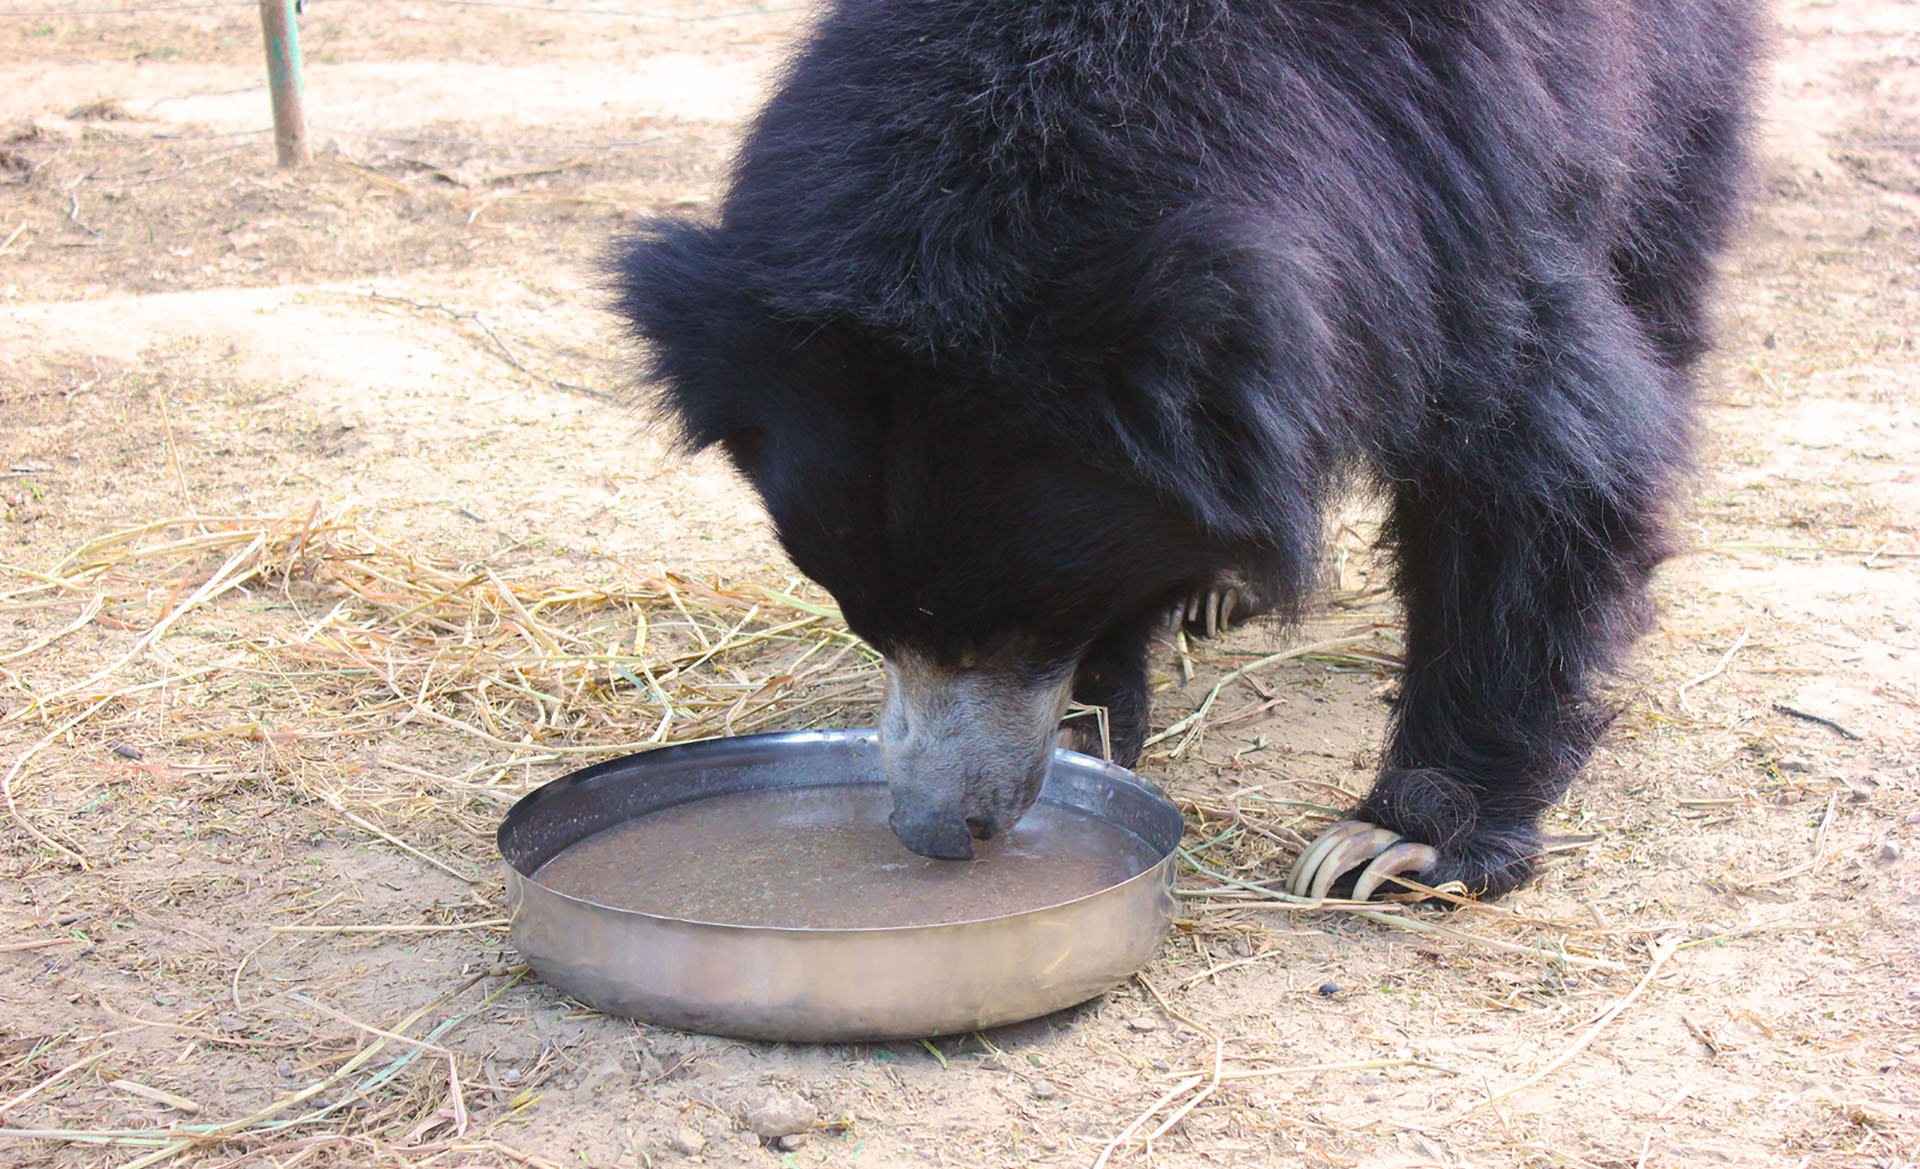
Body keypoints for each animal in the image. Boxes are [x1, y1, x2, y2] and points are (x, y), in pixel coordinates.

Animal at [609, 0, 1761, 899]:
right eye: (863, 617)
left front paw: (1399, 839)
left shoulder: (1459, 172)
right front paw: (1098, 716)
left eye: (1017, 625)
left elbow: (1540, 469)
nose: (939, 828)